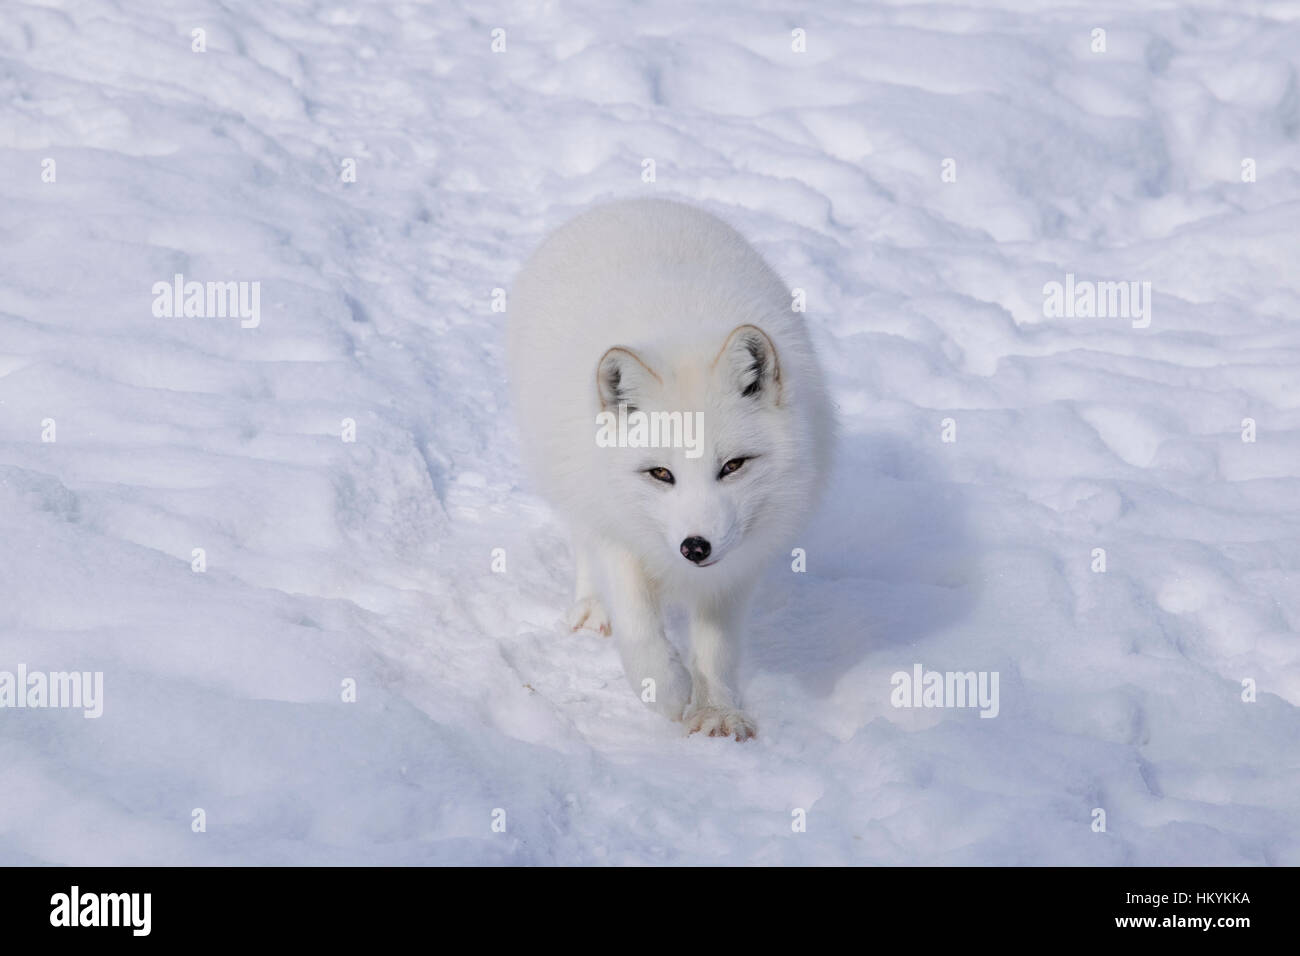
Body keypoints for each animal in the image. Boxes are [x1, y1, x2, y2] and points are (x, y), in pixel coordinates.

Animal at [507, 199, 834, 740]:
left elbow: (716, 649)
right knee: (582, 543)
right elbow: (640, 628)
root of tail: (630, 202)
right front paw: (664, 690)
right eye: (661, 474)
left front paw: (717, 711)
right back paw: (592, 610)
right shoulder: (618, 531)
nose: (694, 547)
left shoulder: (736, 565)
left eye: (733, 466)